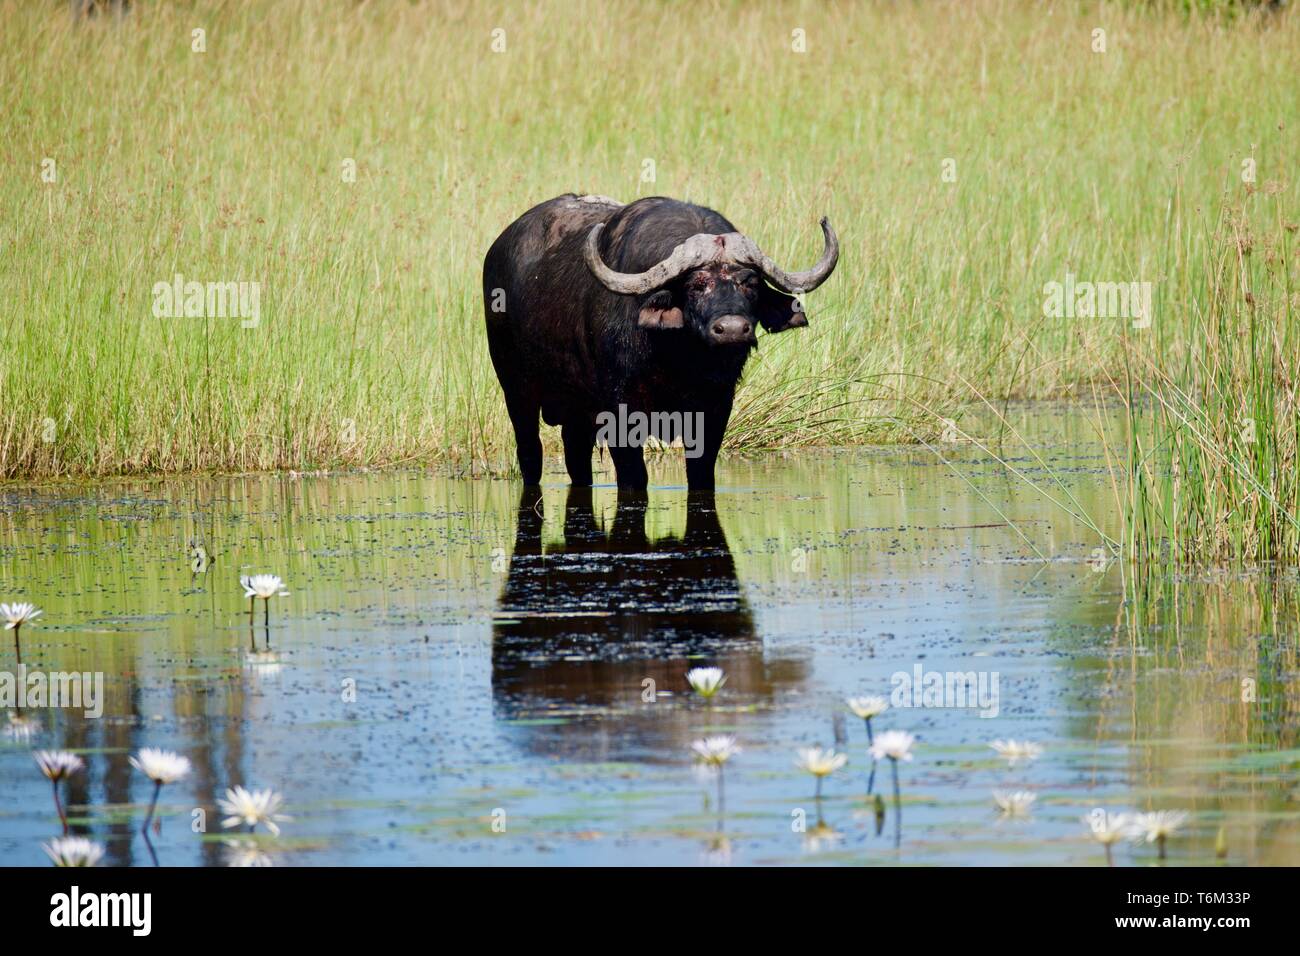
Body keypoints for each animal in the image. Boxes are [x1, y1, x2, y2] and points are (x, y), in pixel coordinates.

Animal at [483, 195, 839, 489]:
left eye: (750, 283)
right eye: (696, 284)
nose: (732, 329)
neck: (676, 359)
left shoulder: (716, 407)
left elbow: (701, 471)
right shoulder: (620, 411)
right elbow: (634, 477)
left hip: (577, 410)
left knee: (576, 456)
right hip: (517, 390)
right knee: (530, 452)